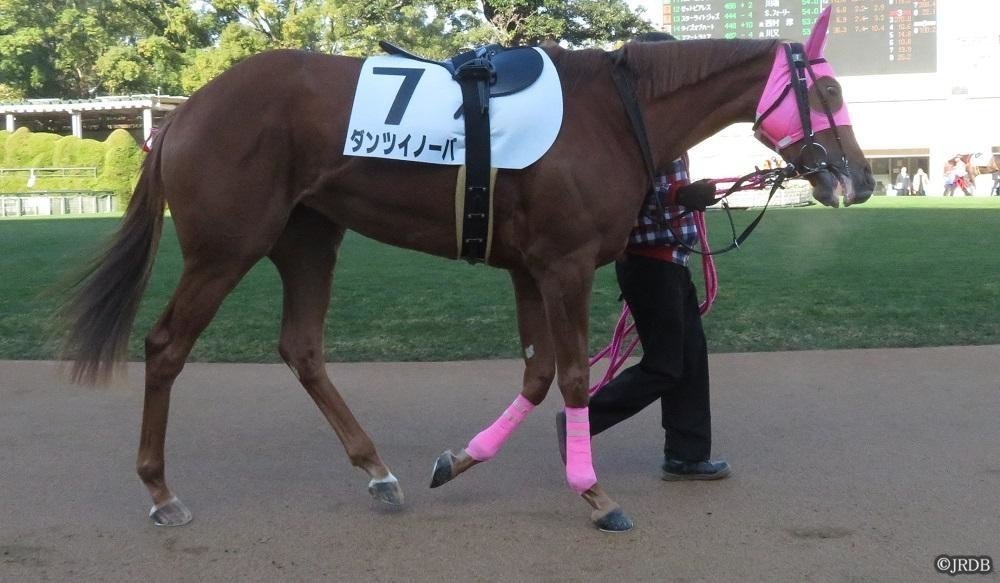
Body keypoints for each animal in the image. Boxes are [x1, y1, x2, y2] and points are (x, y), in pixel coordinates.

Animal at [59, 6, 873, 532]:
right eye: (831, 90)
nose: (860, 179)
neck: (614, 112)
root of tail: (185, 110)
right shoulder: (565, 266)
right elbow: (572, 378)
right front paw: (592, 491)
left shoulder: (528, 268)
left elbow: (537, 375)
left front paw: (460, 459)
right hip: (228, 246)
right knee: (167, 346)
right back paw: (161, 491)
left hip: (309, 237)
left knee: (302, 348)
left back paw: (377, 471)